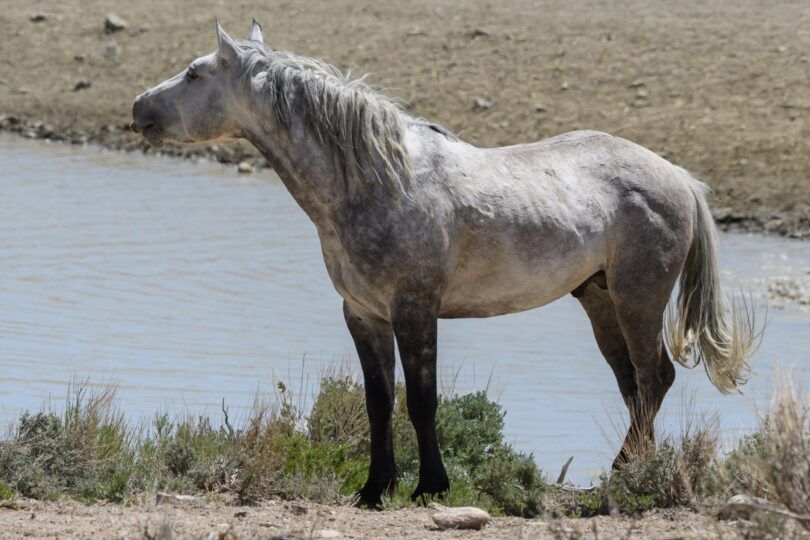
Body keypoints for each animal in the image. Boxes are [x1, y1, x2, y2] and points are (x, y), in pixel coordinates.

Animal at [131, 20, 758, 508]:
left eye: (194, 73)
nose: (138, 109)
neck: (379, 180)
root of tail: (679, 177)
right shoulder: (363, 315)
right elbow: (379, 402)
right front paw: (374, 489)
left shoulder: (415, 310)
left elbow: (422, 400)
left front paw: (430, 486)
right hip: (599, 299)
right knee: (634, 385)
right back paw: (626, 473)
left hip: (637, 298)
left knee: (654, 378)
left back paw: (629, 476)